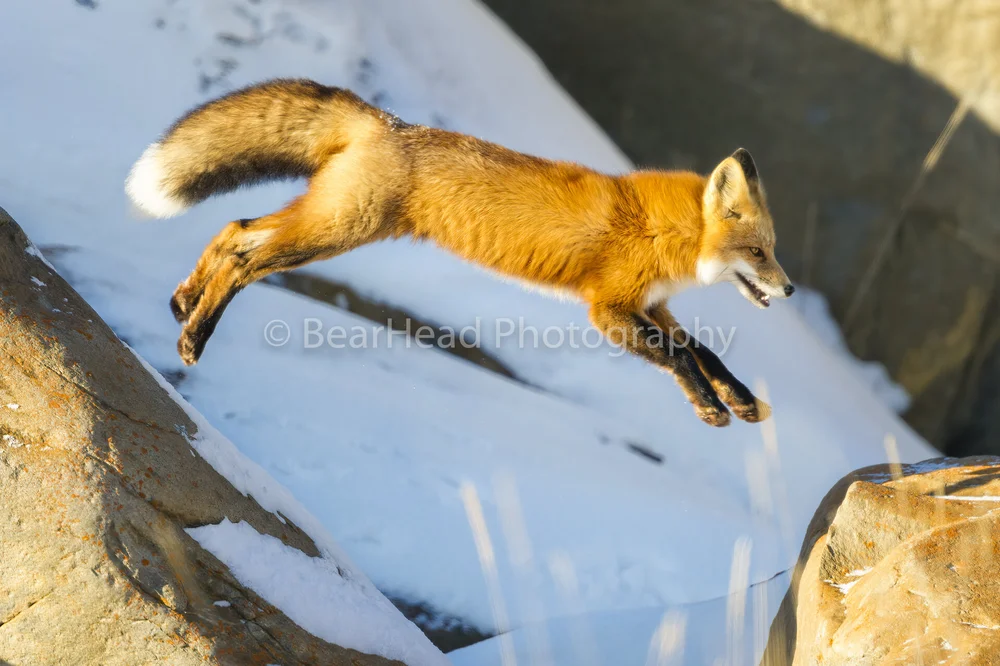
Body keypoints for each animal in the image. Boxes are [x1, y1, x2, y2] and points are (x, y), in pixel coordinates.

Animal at [126, 79, 794, 427]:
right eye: (759, 252)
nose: (789, 290)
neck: (664, 232)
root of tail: (387, 121)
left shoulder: (651, 307)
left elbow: (703, 351)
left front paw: (740, 399)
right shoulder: (608, 310)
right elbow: (678, 359)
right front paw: (711, 408)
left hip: (324, 223)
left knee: (235, 229)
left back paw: (184, 302)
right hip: (336, 232)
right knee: (245, 259)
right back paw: (194, 338)